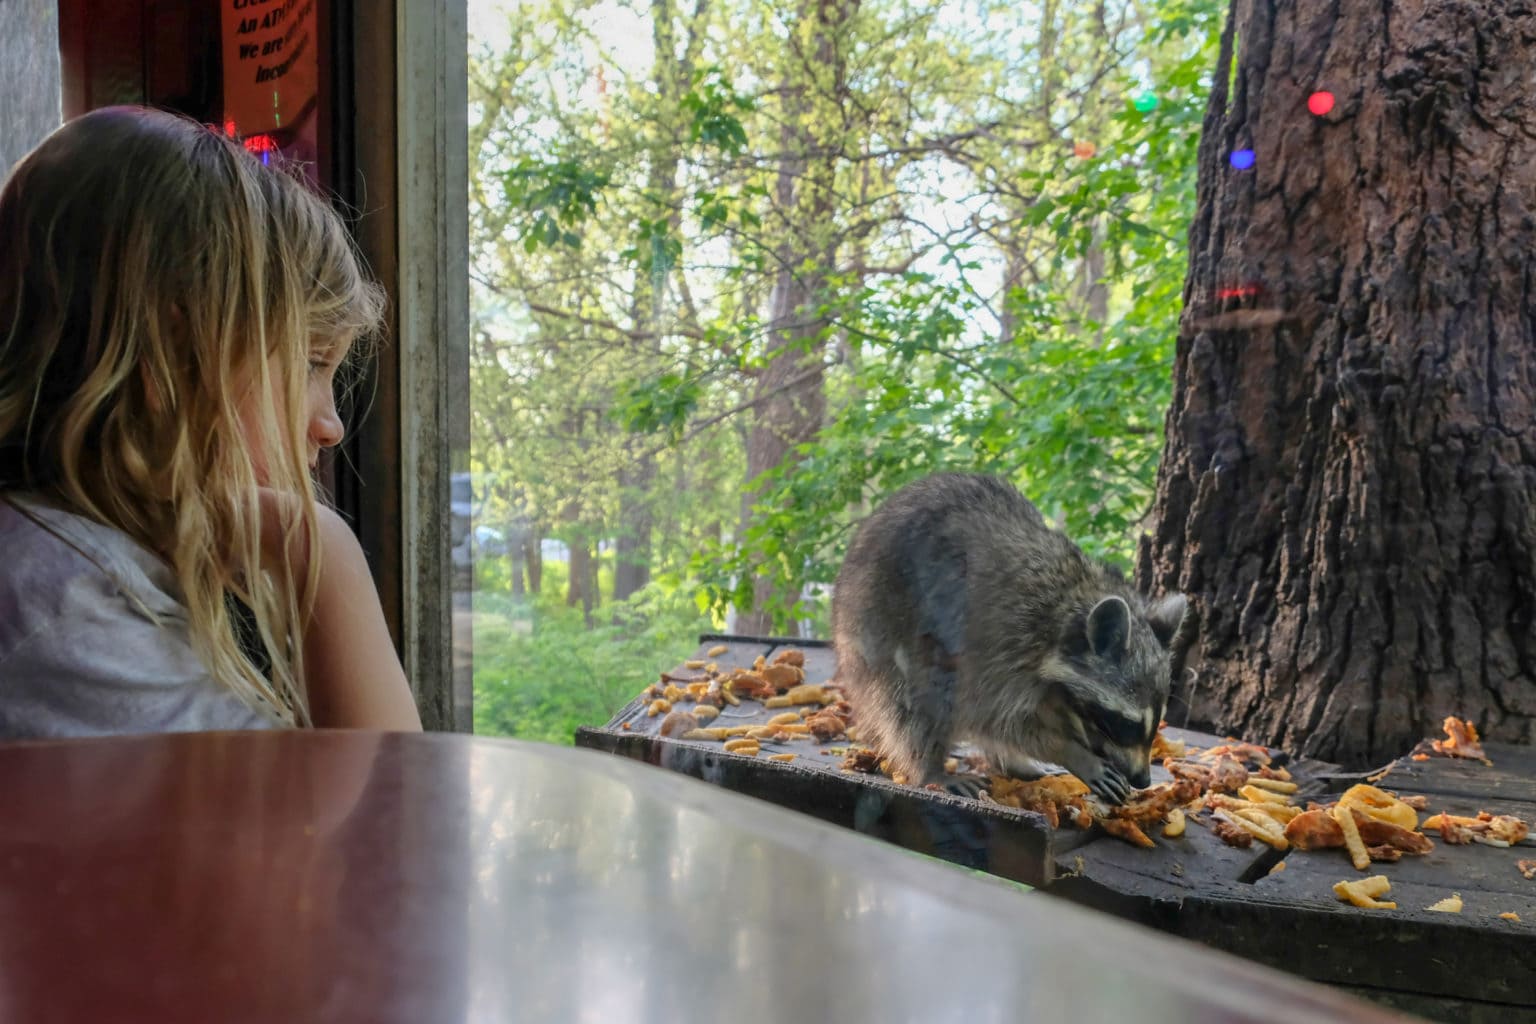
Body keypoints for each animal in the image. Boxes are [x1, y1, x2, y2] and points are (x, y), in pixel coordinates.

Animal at [830, 473, 1188, 805]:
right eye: (1125, 724)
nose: (1142, 780)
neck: (1071, 600)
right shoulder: (997, 647)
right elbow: (997, 721)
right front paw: (1071, 752)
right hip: (879, 625)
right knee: (912, 703)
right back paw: (930, 767)